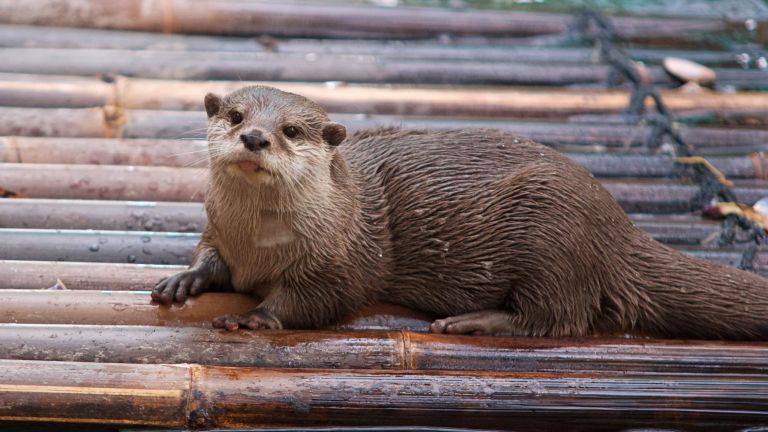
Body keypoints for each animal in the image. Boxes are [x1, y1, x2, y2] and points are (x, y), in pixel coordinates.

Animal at [151, 85, 768, 340]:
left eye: (292, 131)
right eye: (235, 115)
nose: (255, 137)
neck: (260, 245)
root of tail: (618, 226)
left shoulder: (346, 258)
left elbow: (321, 300)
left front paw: (256, 316)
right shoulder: (219, 230)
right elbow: (209, 255)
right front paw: (184, 280)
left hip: (553, 227)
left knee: (560, 317)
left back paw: (473, 320)